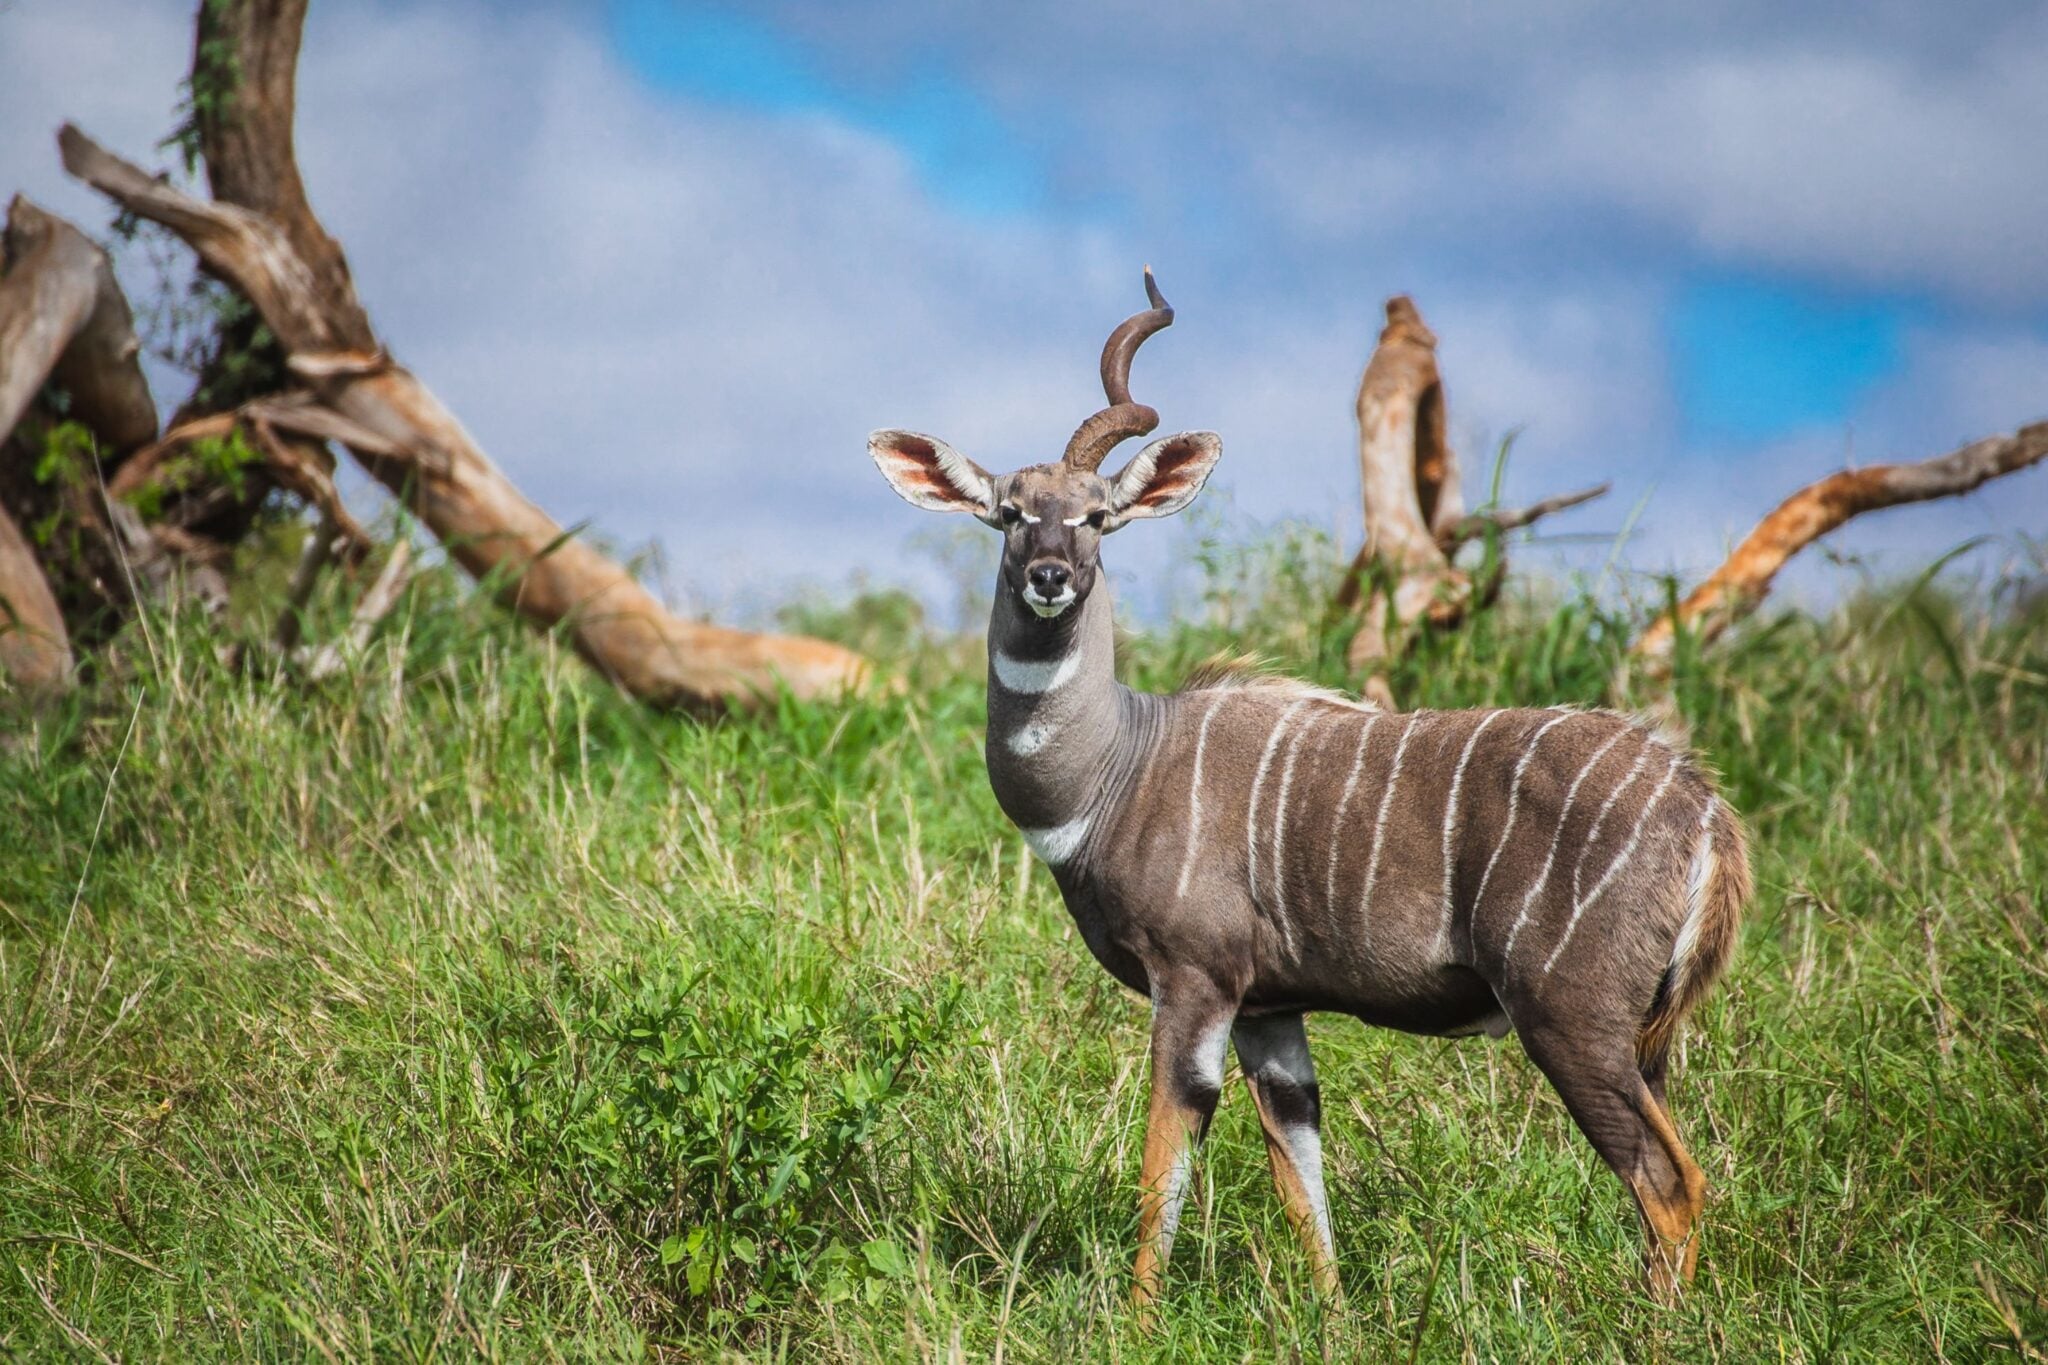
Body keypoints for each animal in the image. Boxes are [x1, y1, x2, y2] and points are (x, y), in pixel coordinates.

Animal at [869, 271, 1750, 1315]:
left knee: (1670, 1180)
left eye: (1095, 516)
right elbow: (1301, 1180)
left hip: (1572, 1019)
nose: (1049, 576)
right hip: (1642, 1035)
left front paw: (1137, 1319)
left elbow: (1164, 1162)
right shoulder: (1269, 1008)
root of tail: (1703, 809)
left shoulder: (1196, 980)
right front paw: (1332, 1319)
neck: (1117, 768)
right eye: (1009, 513)